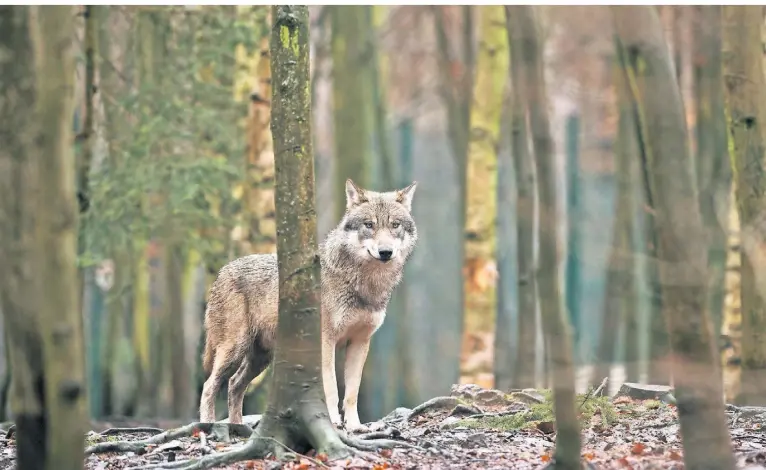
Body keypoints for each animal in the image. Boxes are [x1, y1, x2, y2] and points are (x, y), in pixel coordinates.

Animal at [199, 179, 418, 432]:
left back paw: (238, 428)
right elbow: (331, 387)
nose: (385, 252)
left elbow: (352, 392)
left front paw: (355, 426)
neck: (364, 284)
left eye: (395, 225)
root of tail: (222, 272)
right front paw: (333, 423)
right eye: (369, 225)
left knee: (234, 385)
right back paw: (208, 426)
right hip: (235, 349)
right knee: (209, 386)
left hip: (261, 358)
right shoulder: (326, 341)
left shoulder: (360, 342)